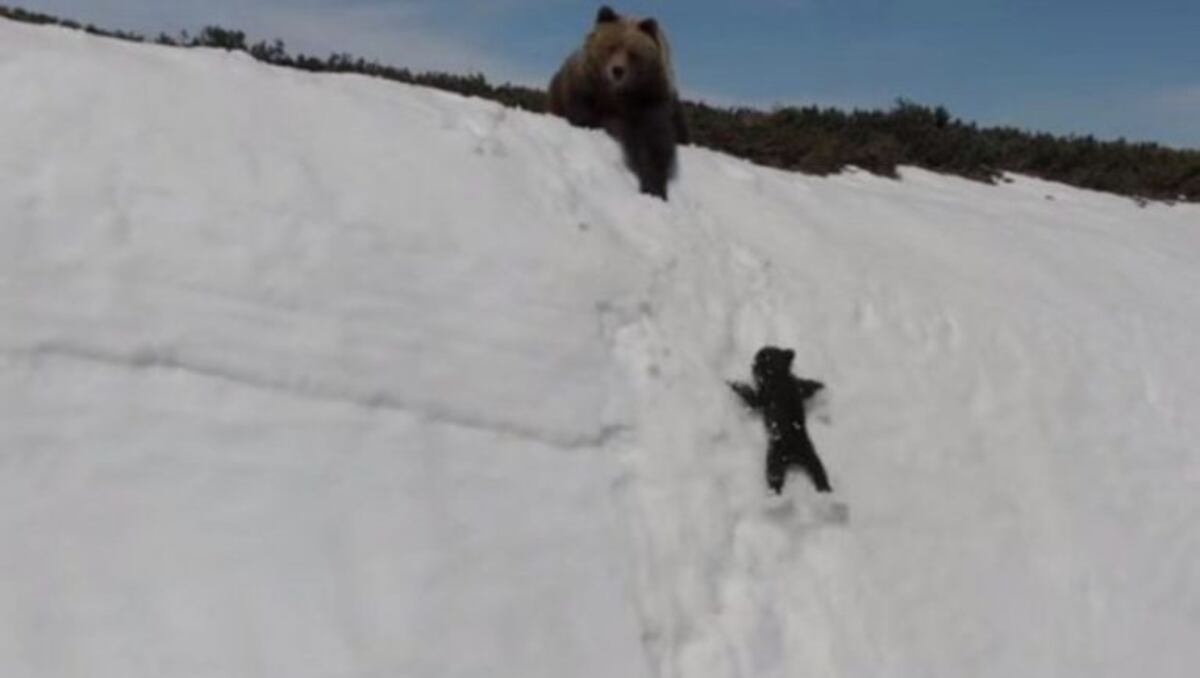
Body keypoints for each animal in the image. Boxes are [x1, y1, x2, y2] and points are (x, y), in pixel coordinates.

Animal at [548, 6, 689, 200]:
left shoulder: (650, 102)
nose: (617, 70)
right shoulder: (586, 89)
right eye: (611, 47)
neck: (617, 96)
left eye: (633, 53)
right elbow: (584, 115)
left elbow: (654, 146)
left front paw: (654, 187)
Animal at [729, 347, 832, 494]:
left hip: (774, 461)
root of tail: (794, 453)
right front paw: (818, 384)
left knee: (775, 481)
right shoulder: (798, 385)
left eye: (762, 357)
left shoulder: (762, 397)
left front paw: (733, 383)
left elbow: (748, 394)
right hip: (813, 460)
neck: (780, 374)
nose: (753, 363)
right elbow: (807, 386)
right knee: (820, 475)